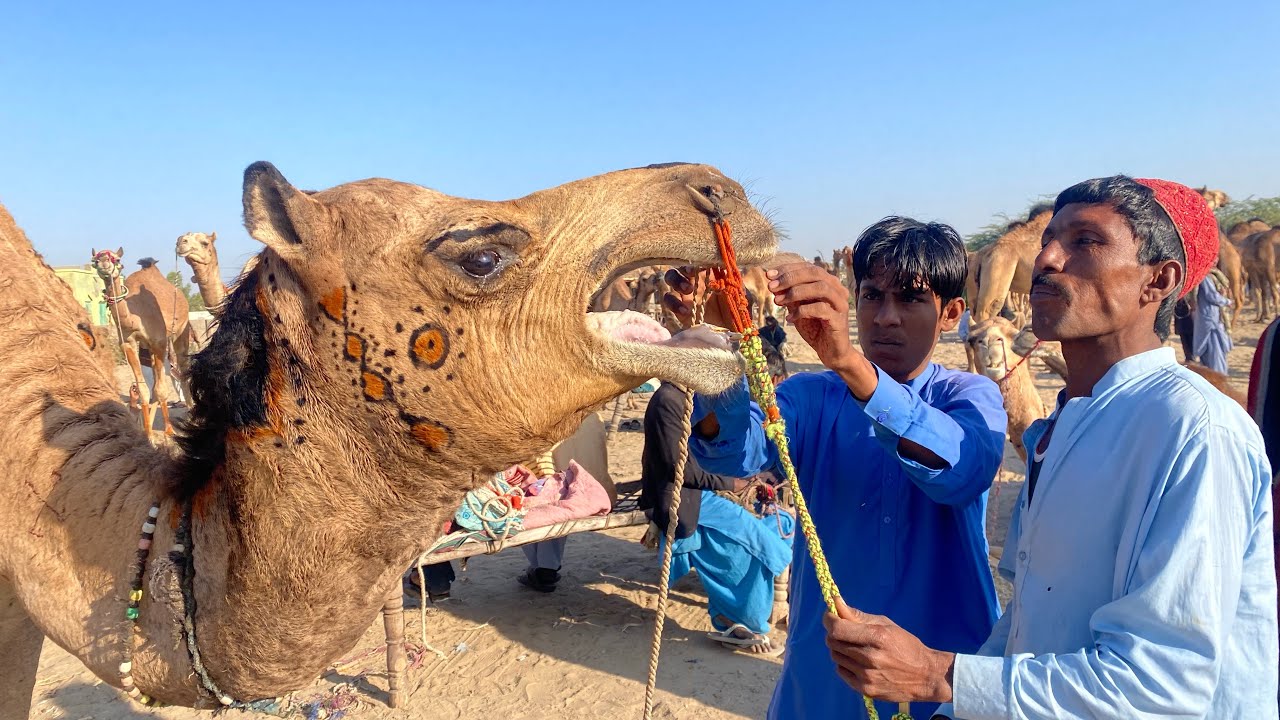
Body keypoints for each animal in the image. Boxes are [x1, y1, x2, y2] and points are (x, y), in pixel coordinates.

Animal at [89, 251, 194, 437]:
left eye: (117, 258)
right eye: (94, 260)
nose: (104, 262)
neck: (133, 318)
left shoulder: (159, 342)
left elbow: (161, 389)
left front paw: (168, 430)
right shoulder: (128, 343)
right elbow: (144, 389)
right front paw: (148, 433)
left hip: (180, 333)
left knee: (182, 370)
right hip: (147, 347)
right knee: (154, 381)